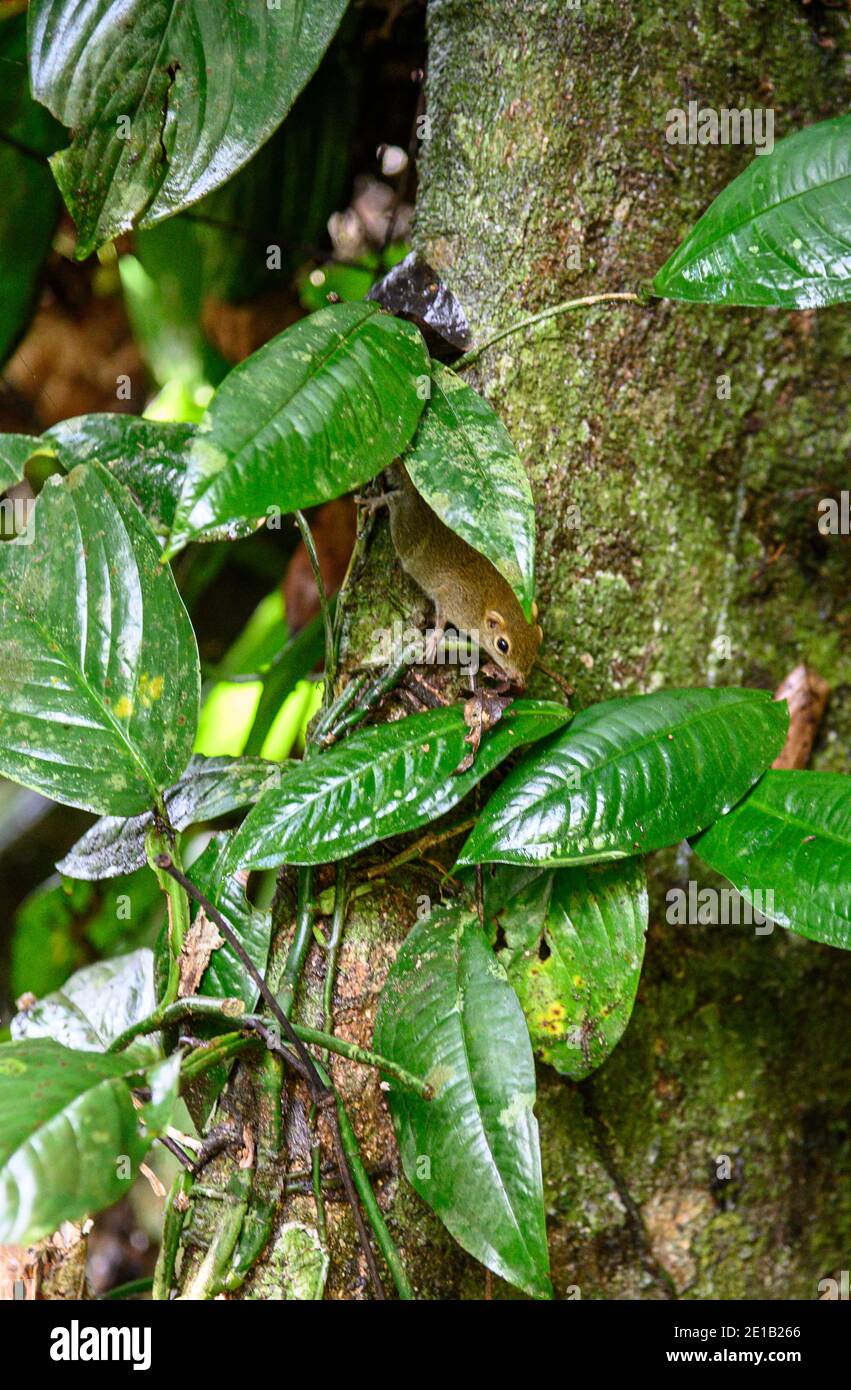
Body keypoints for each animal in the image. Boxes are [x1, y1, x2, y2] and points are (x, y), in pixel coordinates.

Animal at [362, 463, 543, 686]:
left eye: (538, 638)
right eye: (502, 645)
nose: (519, 678)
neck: (490, 597)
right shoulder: (454, 599)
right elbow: (441, 618)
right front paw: (434, 639)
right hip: (406, 530)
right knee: (395, 500)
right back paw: (377, 501)